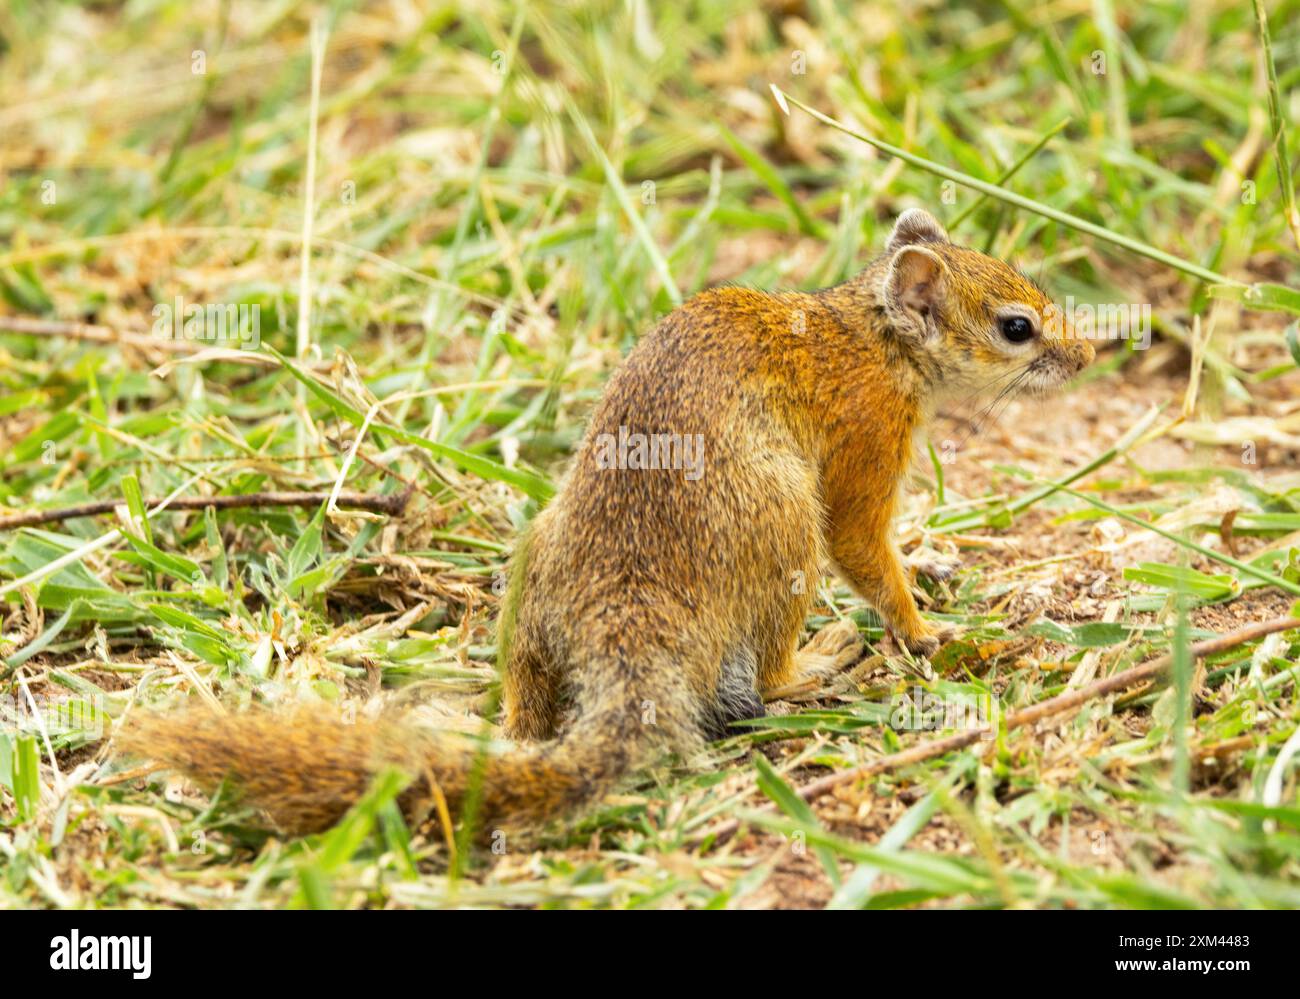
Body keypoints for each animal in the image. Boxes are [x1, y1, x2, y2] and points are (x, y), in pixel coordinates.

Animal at [119, 208, 1094, 837]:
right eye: (1016, 326)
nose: (1088, 353)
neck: (871, 331)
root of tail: (620, 621)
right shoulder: (864, 449)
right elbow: (869, 549)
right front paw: (929, 632)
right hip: (788, 533)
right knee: (767, 674)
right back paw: (820, 663)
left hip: (535, 582)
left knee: (527, 705)